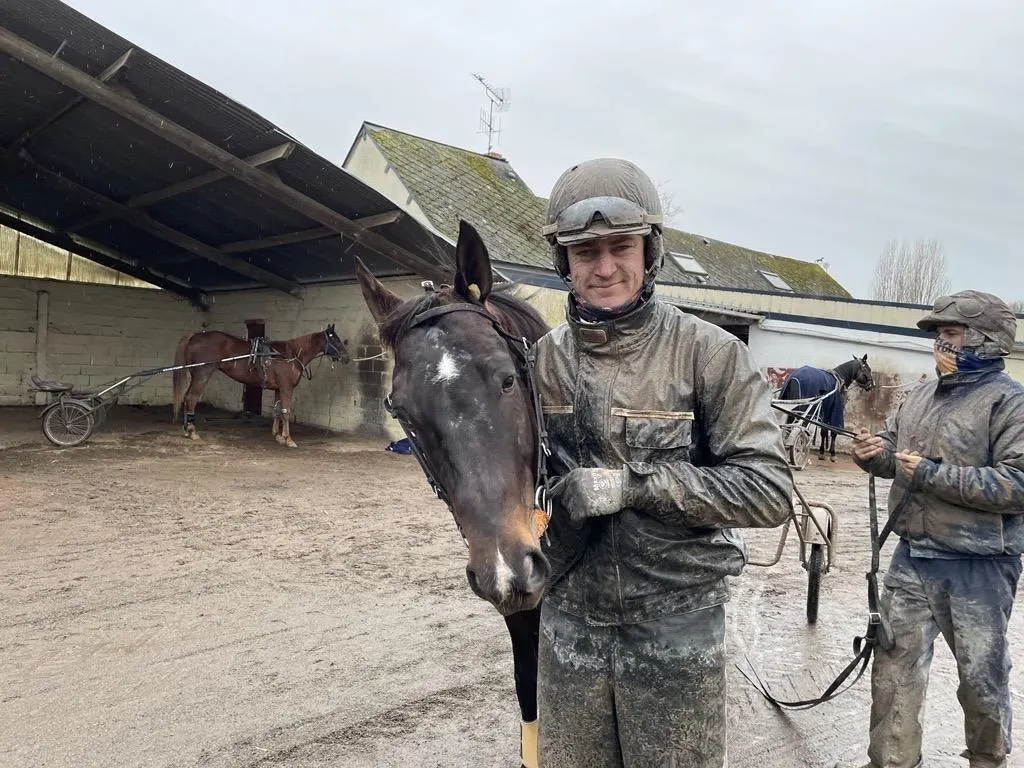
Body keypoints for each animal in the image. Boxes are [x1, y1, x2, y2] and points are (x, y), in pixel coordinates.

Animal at [171, 324, 348, 447]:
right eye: (334, 339)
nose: (346, 357)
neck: (289, 355)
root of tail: (194, 336)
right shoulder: (286, 388)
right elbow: (286, 411)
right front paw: (288, 439)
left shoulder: (278, 389)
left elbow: (277, 410)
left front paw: (278, 435)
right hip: (202, 375)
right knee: (191, 399)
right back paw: (192, 431)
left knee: (186, 398)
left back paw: (187, 429)